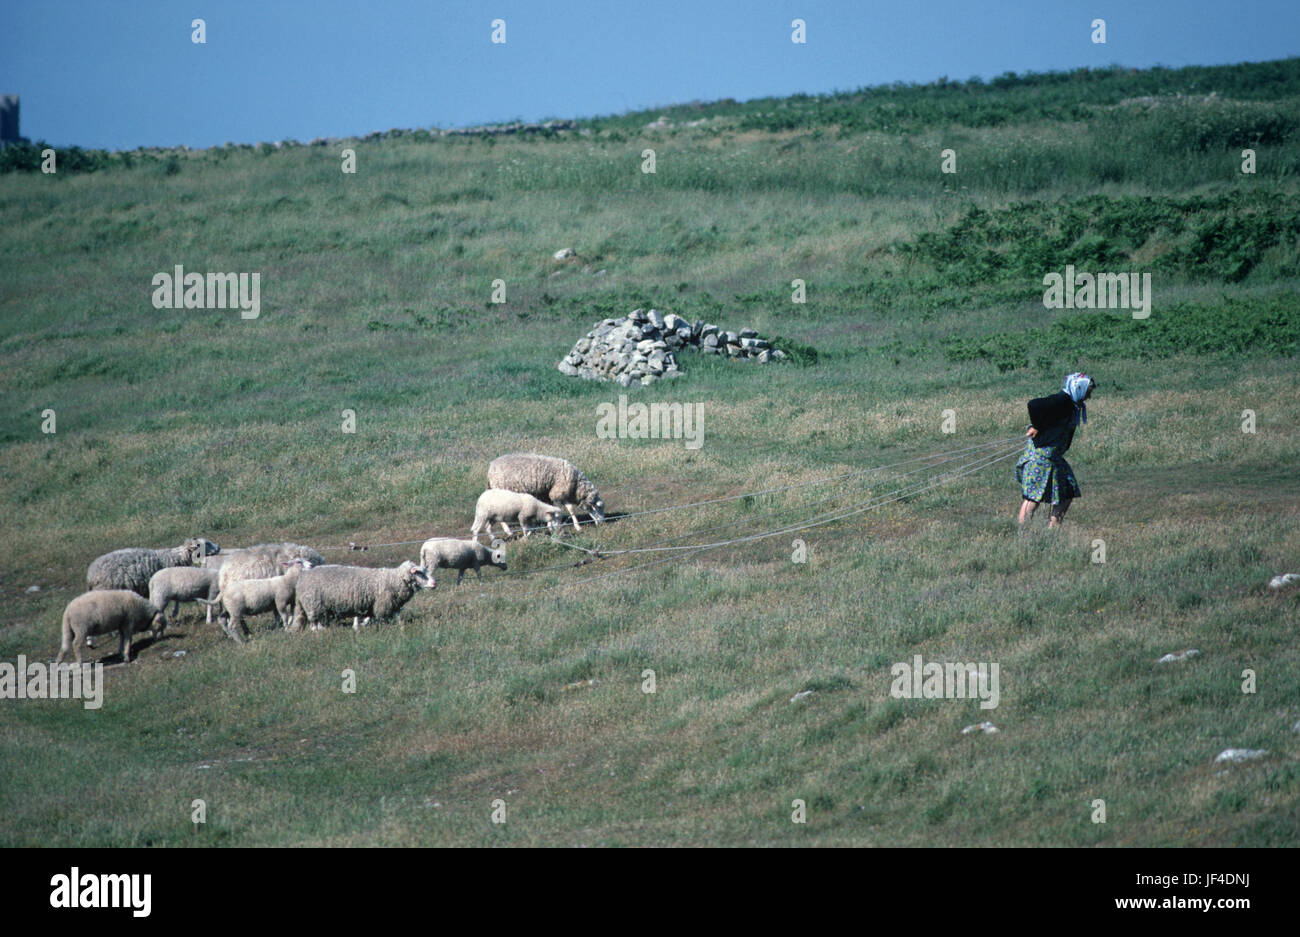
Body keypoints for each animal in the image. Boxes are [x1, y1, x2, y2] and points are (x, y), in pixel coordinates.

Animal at [291, 561, 434, 632]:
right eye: (420, 573)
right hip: (313, 603)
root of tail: (303, 576)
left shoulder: (374, 604)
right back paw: (317, 631)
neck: (393, 579)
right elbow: (378, 617)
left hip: (319, 605)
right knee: (313, 621)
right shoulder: (381, 604)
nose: (435, 583)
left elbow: (371, 617)